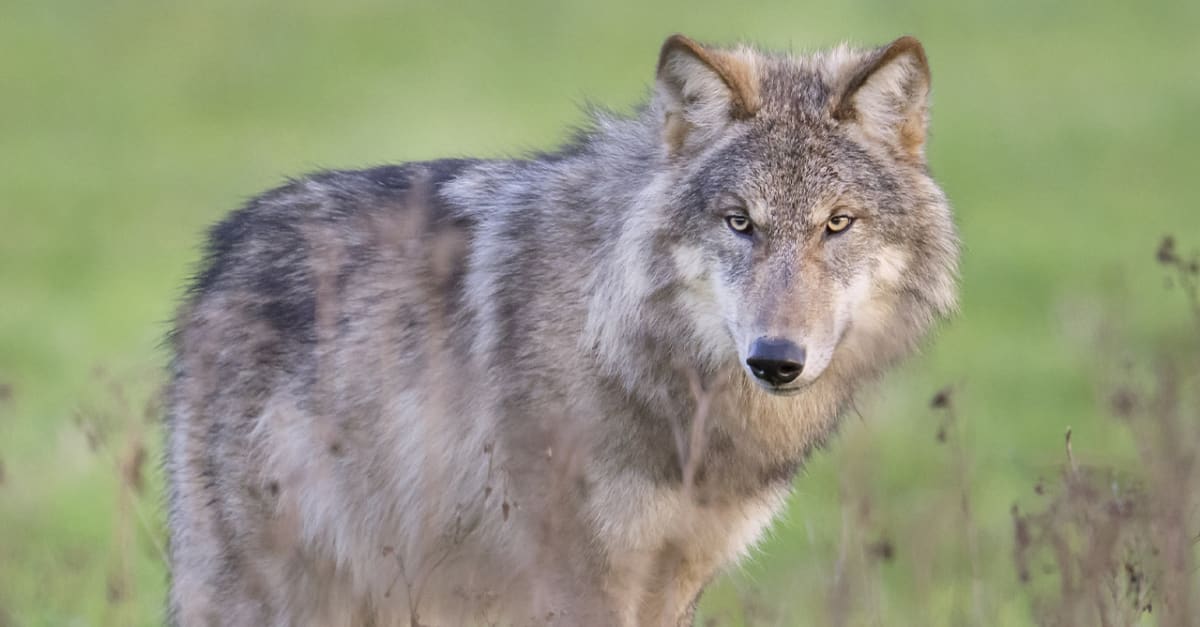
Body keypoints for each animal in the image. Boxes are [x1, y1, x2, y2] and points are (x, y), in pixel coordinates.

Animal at [165, 33, 958, 626]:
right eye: (741, 222)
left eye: (838, 224)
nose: (776, 359)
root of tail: (221, 258)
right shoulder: (577, 578)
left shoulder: (676, 578)